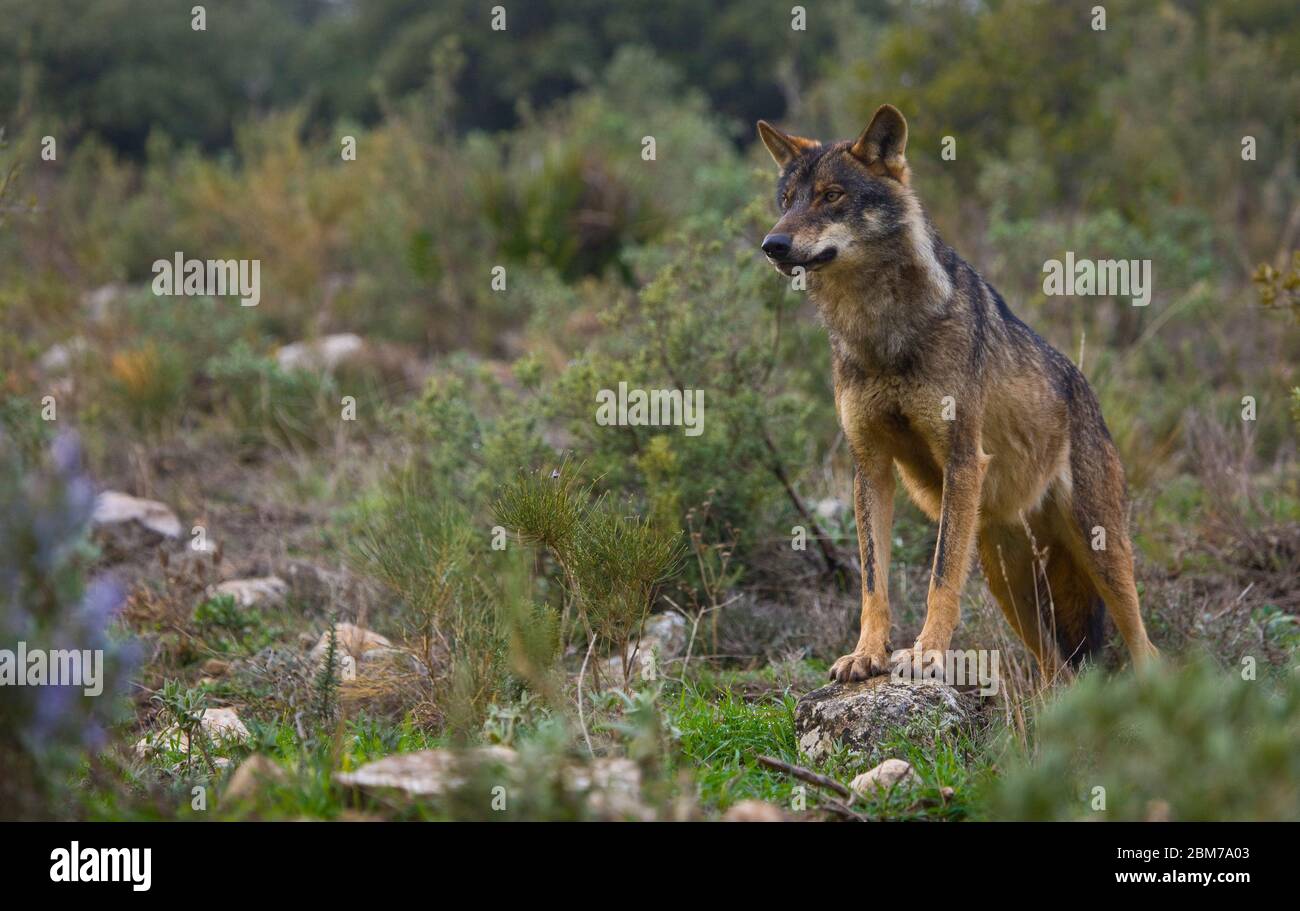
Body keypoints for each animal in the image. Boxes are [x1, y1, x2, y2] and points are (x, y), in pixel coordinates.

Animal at [757, 105, 1159, 680]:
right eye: (787, 200)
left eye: (832, 195)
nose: (773, 245)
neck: (880, 332)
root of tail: (1086, 391)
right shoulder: (869, 467)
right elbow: (873, 581)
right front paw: (866, 654)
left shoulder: (962, 459)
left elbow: (940, 576)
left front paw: (925, 653)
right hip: (1006, 581)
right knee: (1057, 671)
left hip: (1101, 553)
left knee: (1147, 649)